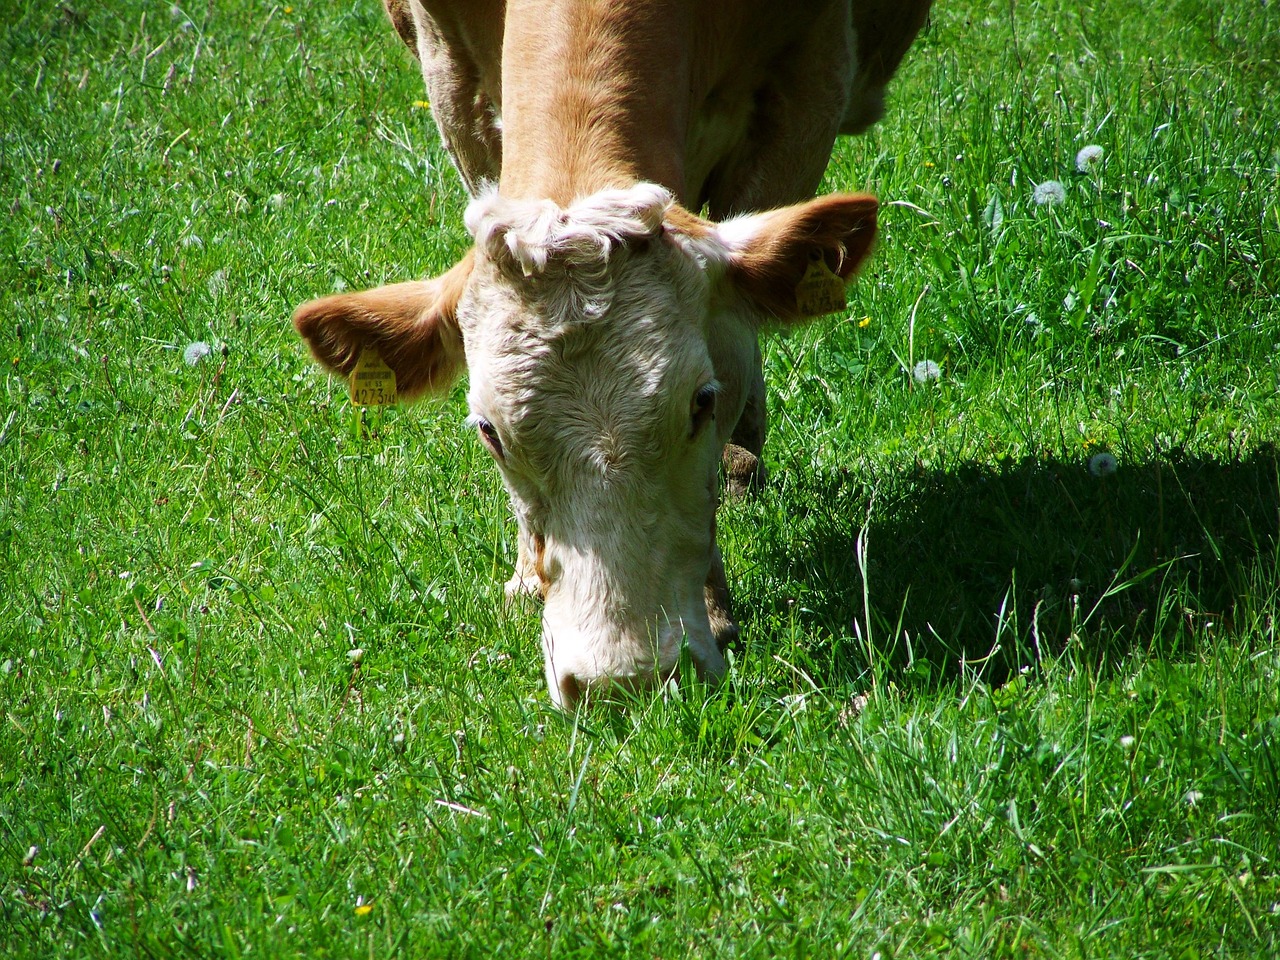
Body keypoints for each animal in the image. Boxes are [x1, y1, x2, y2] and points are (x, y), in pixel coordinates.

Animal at [293, 0, 933, 707]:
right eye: (489, 432)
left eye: (702, 402)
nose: (623, 682)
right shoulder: (448, 69)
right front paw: (526, 579)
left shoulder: (810, 77)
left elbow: (738, 339)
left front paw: (715, 608)